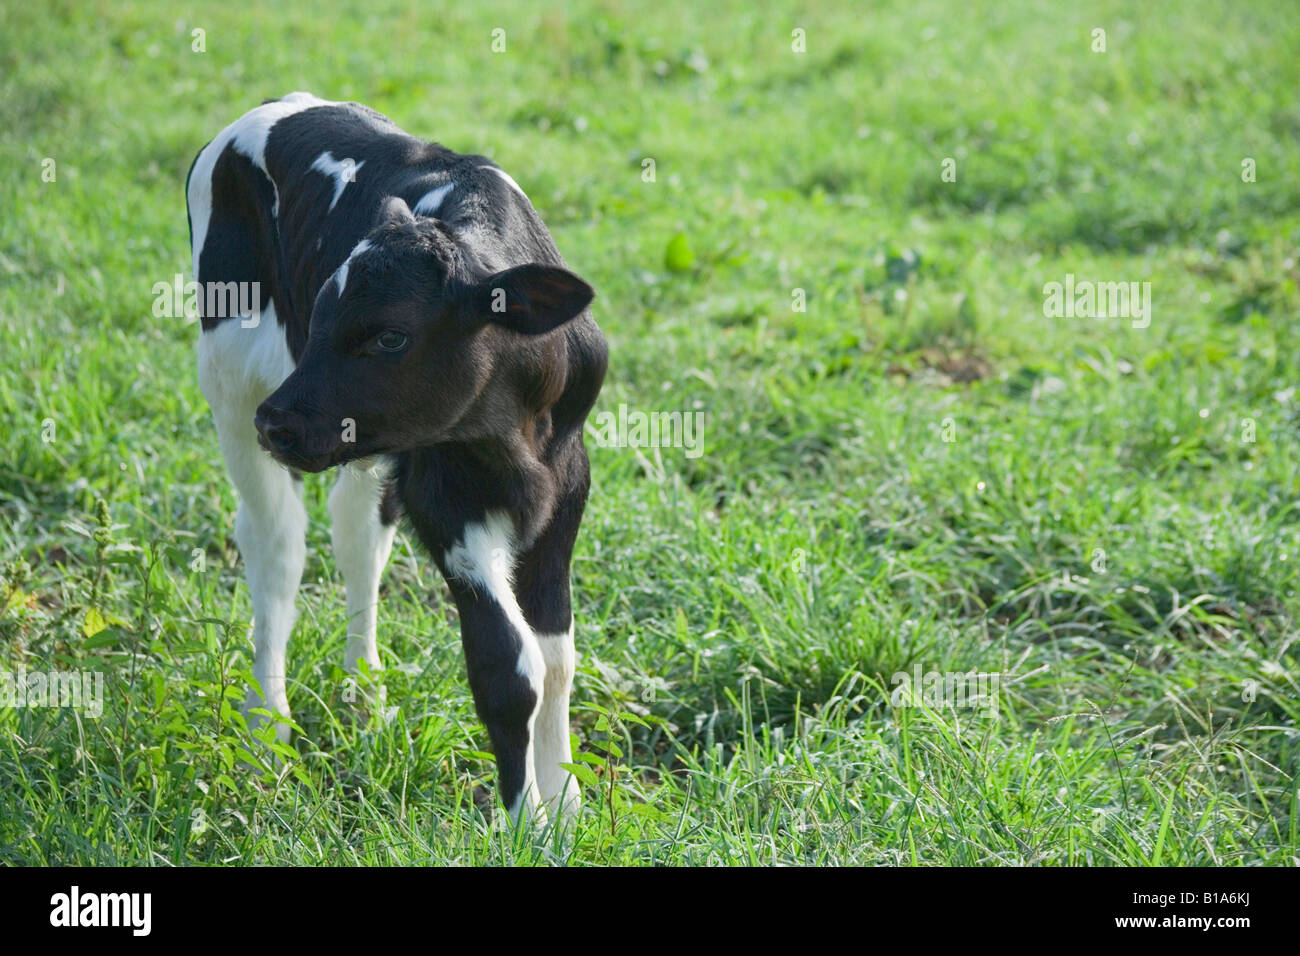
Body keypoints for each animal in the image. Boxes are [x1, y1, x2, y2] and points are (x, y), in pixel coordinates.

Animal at [185, 92, 607, 825]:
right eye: (319, 315)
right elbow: (508, 664)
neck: (516, 432)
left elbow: (556, 657)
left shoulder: (565, 490)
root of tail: (281, 102)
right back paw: (266, 736)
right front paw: (526, 824)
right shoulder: (447, 499)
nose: (278, 422)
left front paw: (566, 807)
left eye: (390, 337)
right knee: (277, 547)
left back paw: (364, 699)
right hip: (229, 376)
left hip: (357, 445)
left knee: (357, 537)